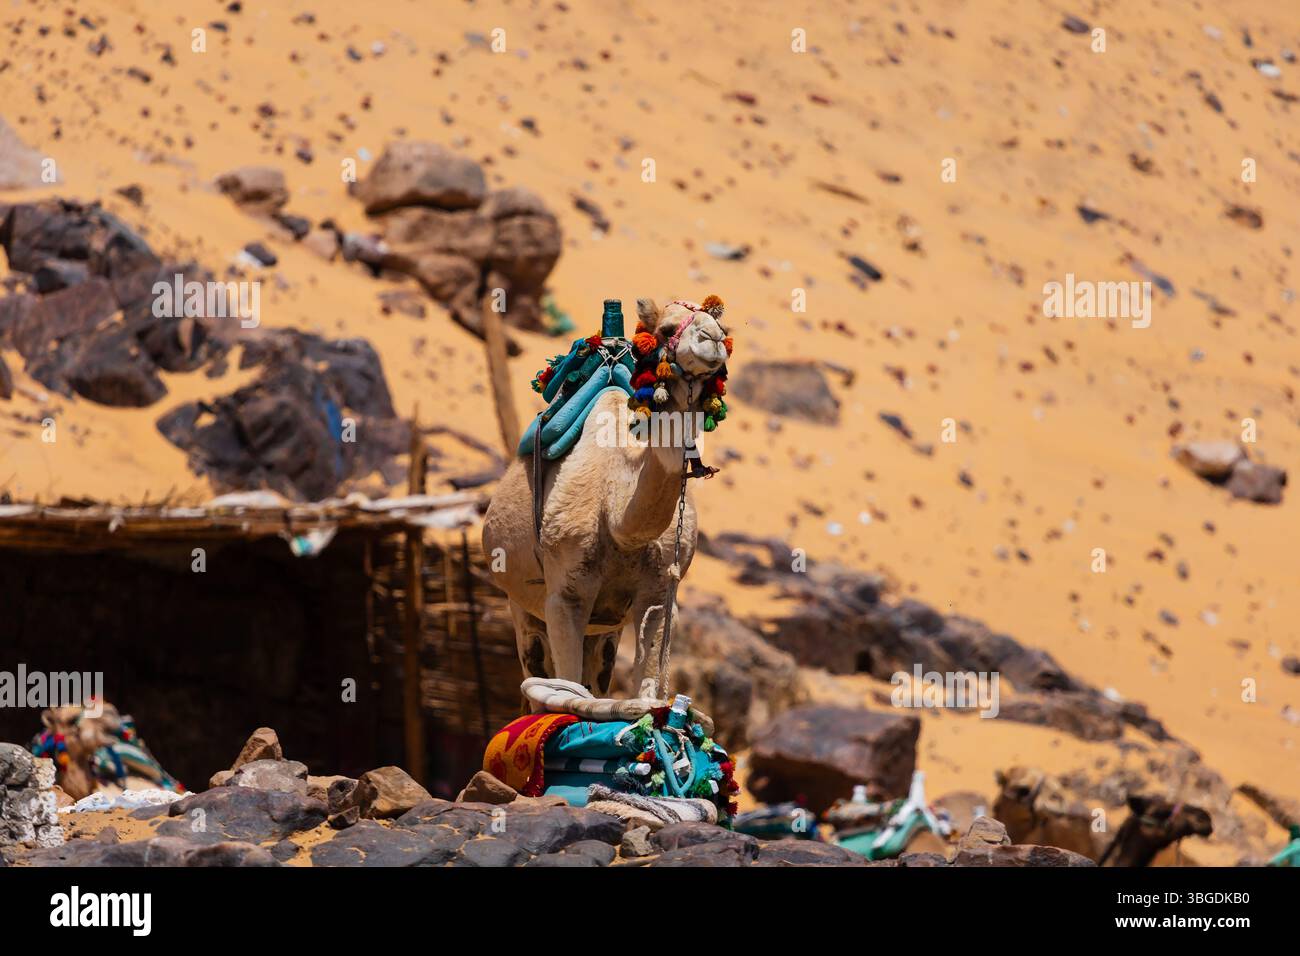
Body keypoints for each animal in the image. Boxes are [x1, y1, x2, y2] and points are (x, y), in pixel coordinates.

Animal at [482, 297, 730, 717]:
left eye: (721, 328)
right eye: (667, 328)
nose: (711, 339)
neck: (616, 514)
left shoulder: (660, 595)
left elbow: (647, 686)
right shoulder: (564, 596)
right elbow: (565, 689)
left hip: (606, 630)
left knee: (595, 673)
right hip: (521, 606)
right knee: (536, 675)